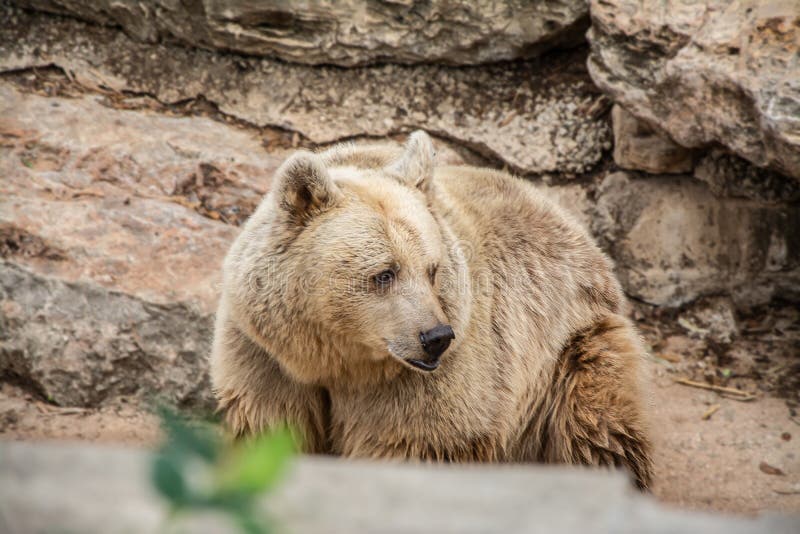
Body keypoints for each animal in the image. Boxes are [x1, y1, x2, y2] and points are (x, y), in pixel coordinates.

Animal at [210, 131, 653, 489]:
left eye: (432, 270)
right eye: (384, 273)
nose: (436, 337)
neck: (338, 361)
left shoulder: (433, 385)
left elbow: (413, 443)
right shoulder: (266, 358)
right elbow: (271, 428)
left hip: (569, 355)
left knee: (598, 432)